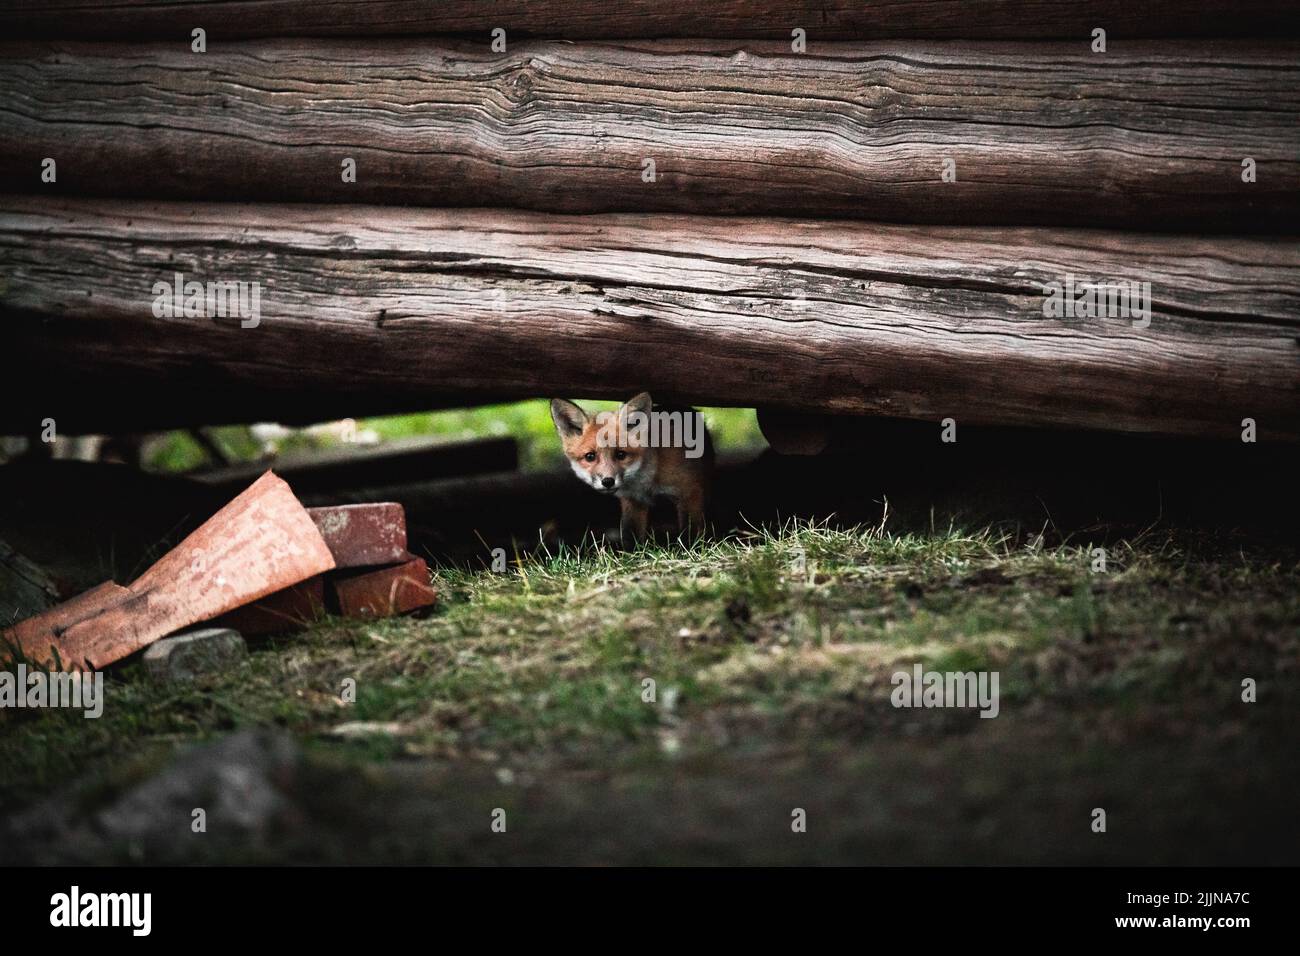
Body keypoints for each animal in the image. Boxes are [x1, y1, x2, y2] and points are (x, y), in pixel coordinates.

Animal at [549, 392, 713, 545]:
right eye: (590, 456)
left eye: (621, 454)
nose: (608, 481)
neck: (649, 479)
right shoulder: (633, 502)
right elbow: (631, 537)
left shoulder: (690, 492)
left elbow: (691, 532)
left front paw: (691, 549)